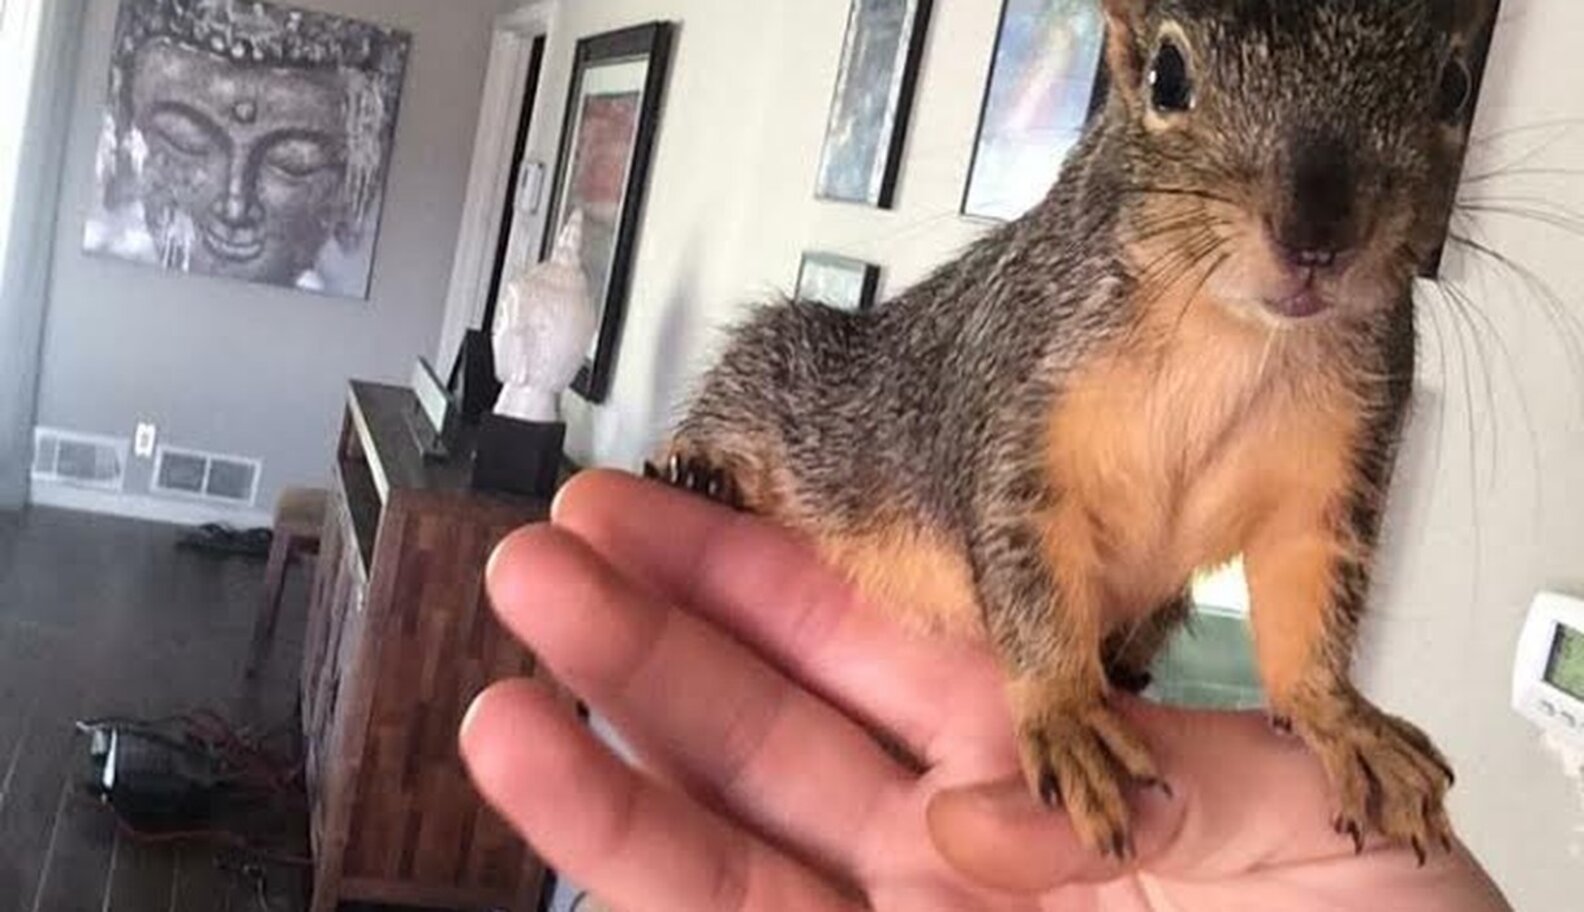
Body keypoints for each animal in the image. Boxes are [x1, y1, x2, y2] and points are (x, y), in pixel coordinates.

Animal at [648, 0, 1493, 862]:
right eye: (1167, 76)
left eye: (1454, 85)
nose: (1316, 236)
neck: (1238, 331)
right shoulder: (1019, 413)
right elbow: (1029, 573)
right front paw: (1065, 712)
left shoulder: (1335, 468)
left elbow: (1312, 598)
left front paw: (1342, 719)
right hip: (795, 382)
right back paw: (702, 471)